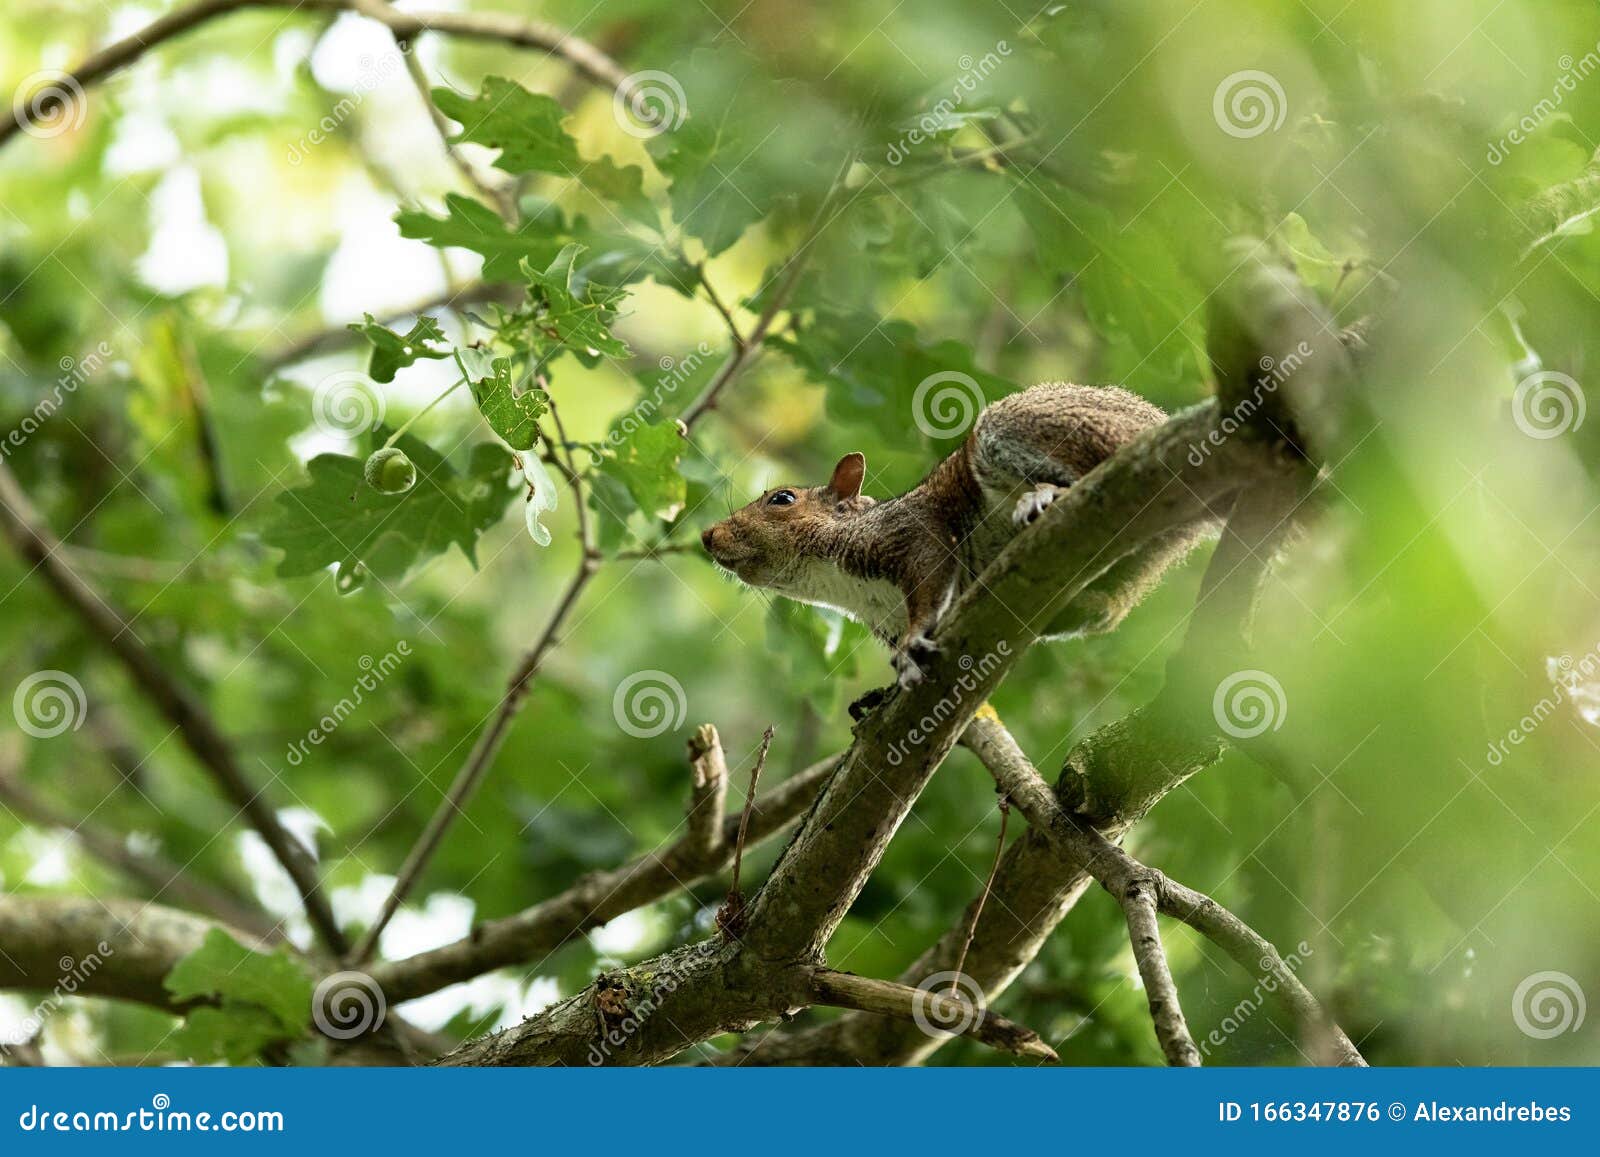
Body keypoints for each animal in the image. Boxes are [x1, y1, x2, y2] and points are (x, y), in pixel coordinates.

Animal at [701, 382, 1170, 687]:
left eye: (782, 499)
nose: (707, 535)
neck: (843, 586)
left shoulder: (909, 532)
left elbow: (929, 580)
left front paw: (912, 643)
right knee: (1103, 609)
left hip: (1023, 430)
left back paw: (1046, 495)